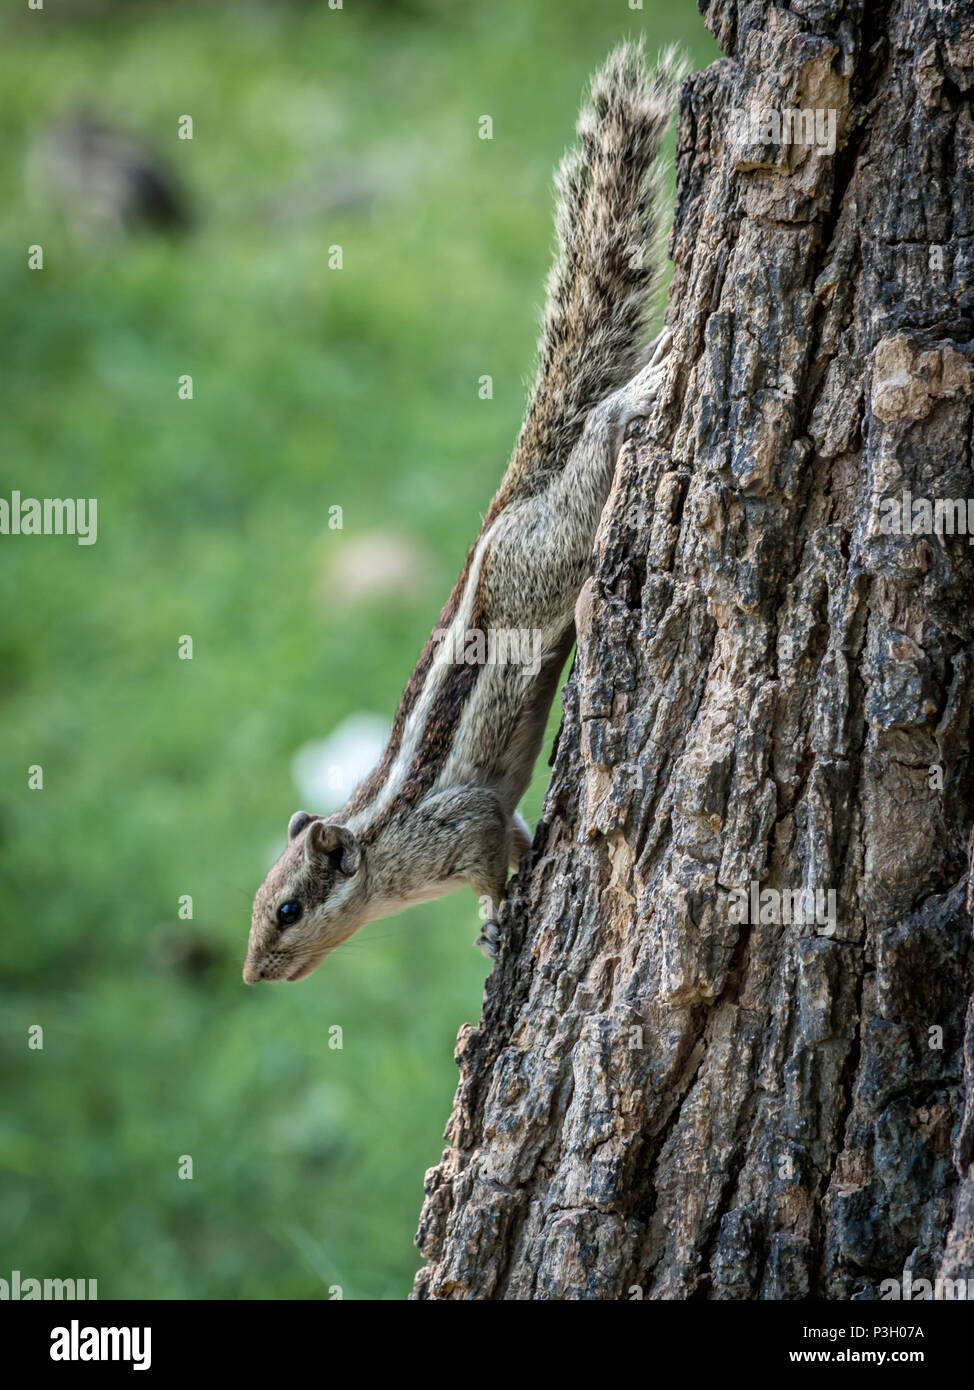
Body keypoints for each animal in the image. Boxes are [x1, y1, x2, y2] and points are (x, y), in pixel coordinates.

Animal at [243, 41, 684, 984]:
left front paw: (493, 919)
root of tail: (503, 507)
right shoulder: (494, 819)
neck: (379, 850)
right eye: (260, 902)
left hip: (545, 557)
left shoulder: (458, 823)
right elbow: (516, 832)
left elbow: (488, 856)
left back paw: (640, 392)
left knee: (593, 457)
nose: (254, 972)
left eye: (290, 907)